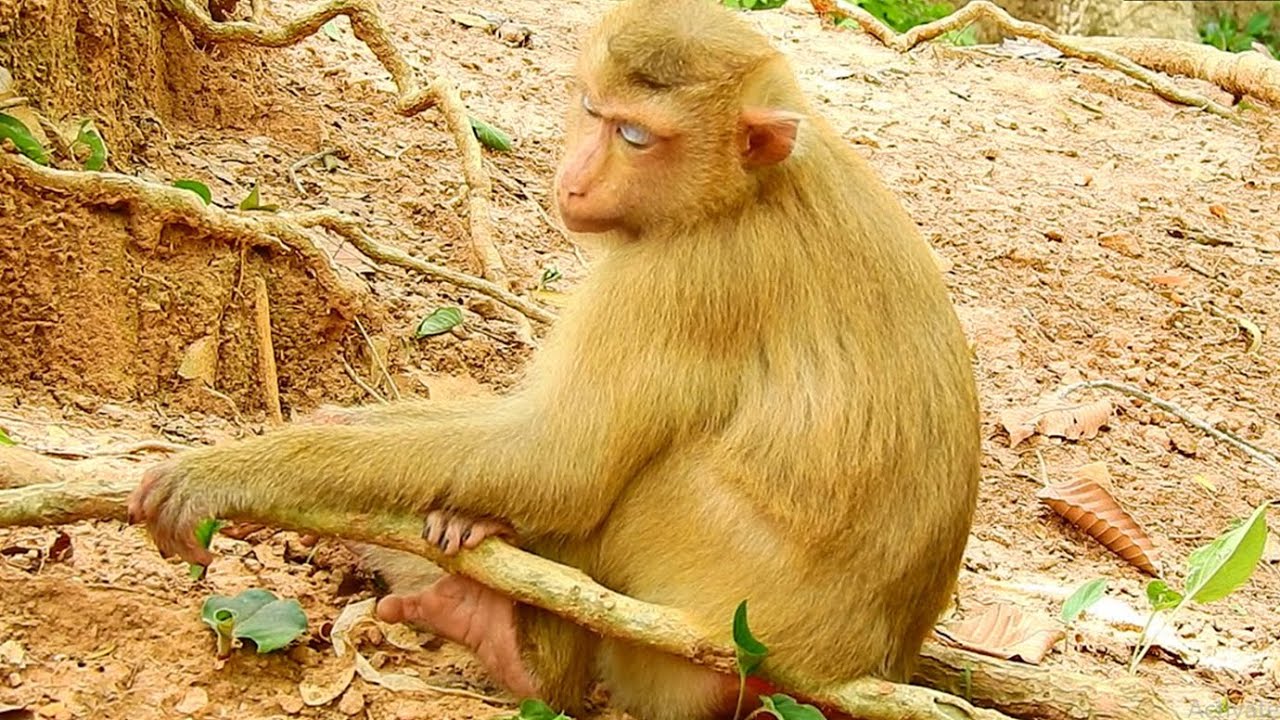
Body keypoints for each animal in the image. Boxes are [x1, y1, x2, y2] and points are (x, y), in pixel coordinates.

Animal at [127, 0, 981, 717]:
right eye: (592, 113)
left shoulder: (681, 276)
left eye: (635, 138)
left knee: (623, 480)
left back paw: (522, 652)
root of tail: (856, 663)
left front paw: (242, 469)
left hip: (718, 610)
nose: (575, 177)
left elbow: (559, 461)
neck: (752, 185)